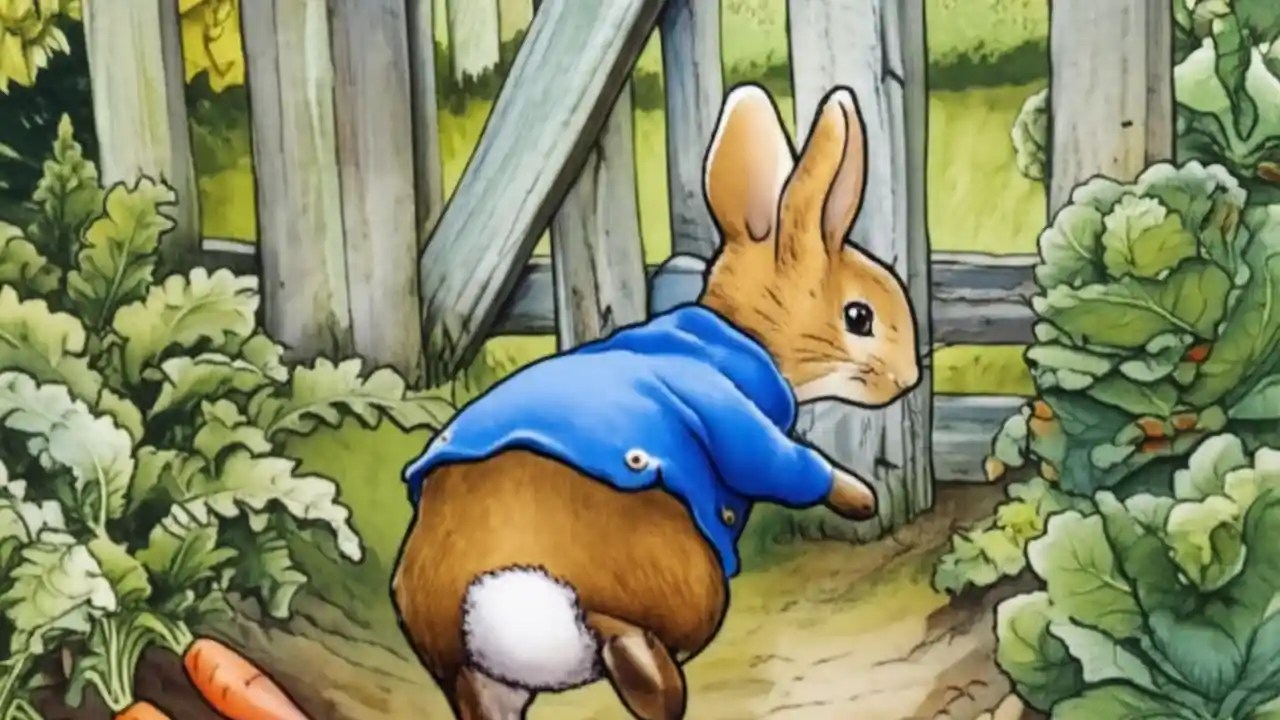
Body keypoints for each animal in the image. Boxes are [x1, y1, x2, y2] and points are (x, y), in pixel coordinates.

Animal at [391, 82, 922, 720]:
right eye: (858, 317)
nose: (909, 378)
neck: (734, 333)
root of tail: (504, 586)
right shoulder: (734, 413)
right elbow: (779, 462)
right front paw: (861, 498)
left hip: (468, 661)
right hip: (684, 583)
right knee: (634, 642)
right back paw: (661, 689)